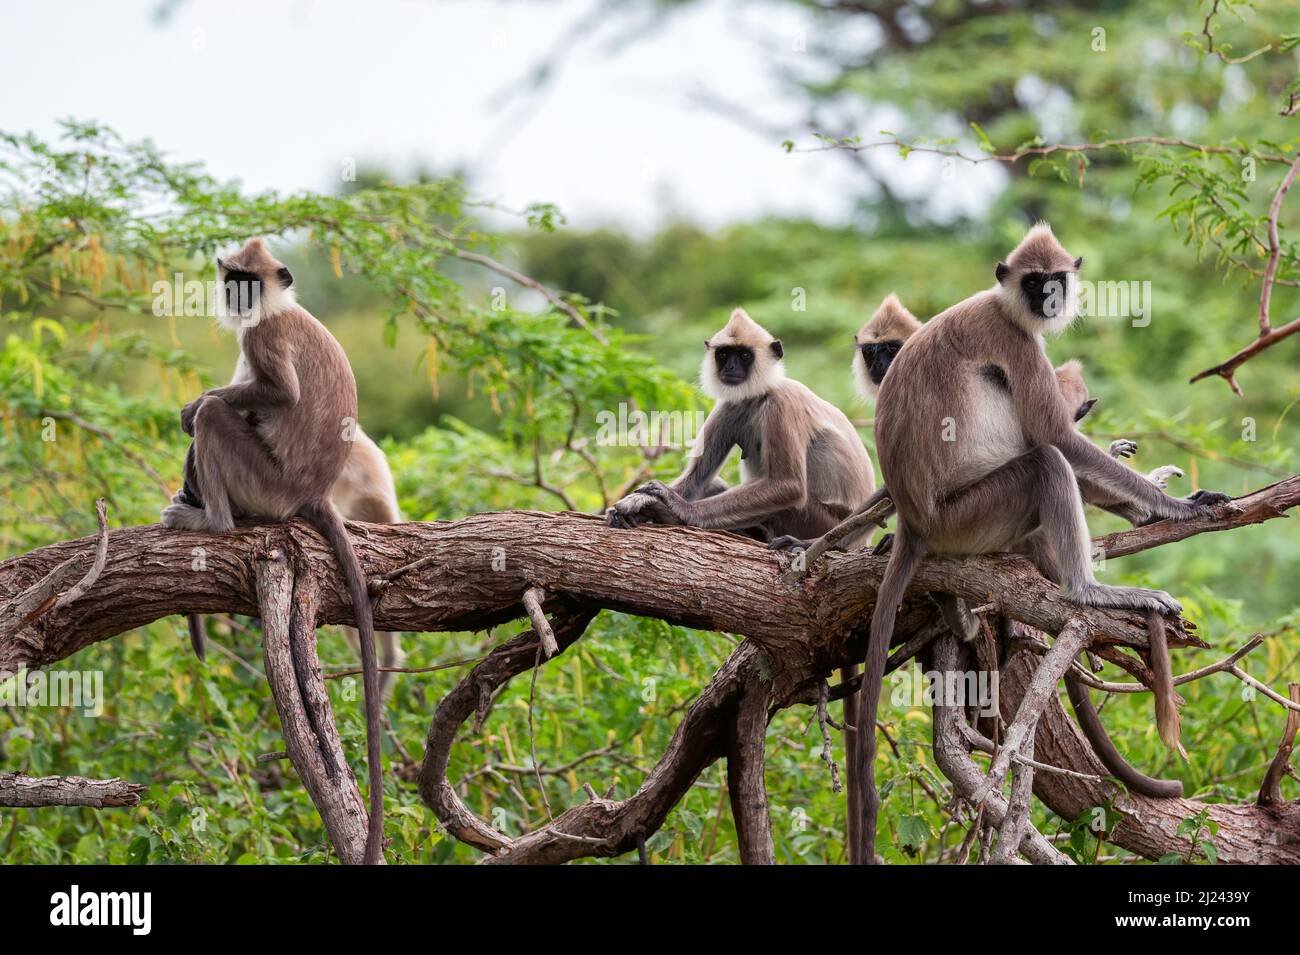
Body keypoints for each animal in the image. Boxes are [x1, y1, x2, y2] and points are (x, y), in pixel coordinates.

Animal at [160, 238, 386, 864]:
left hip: (265, 484)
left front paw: (194, 405)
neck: (279, 306)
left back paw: (210, 519)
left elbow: (275, 394)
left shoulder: (263, 335)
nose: (237, 297)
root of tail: (310, 493)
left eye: (248, 282)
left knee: (217, 417)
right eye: (232, 278)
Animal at [607, 308, 876, 544]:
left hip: (822, 522)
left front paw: (675, 508)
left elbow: (789, 485)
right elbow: (694, 480)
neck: (760, 396)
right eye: (724, 355)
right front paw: (642, 503)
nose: (731, 367)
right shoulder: (729, 405)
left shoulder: (783, 403)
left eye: (744, 355)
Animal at [852, 224, 1230, 863]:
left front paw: (1154, 496)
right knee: (1046, 461)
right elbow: (1054, 436)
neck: (1001, 304)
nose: (1049, 299)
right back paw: (1087, 591)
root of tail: (915, 522)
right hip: (970, 517)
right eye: (1034, 283)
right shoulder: (1016, 341)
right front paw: (1175, 508)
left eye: (1055, 280)